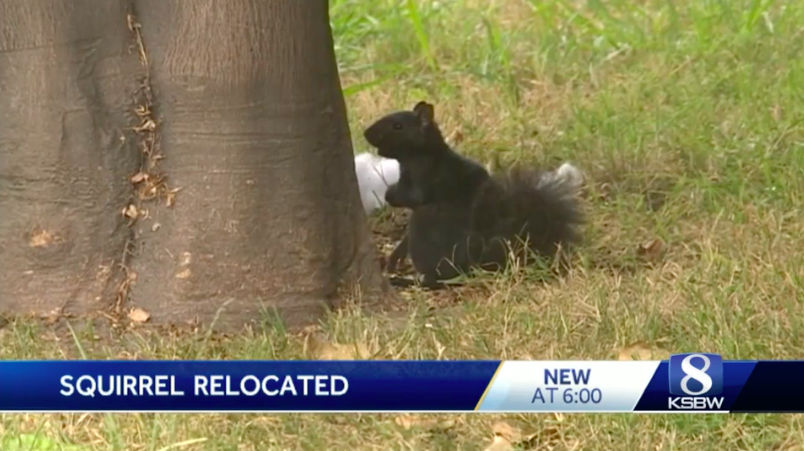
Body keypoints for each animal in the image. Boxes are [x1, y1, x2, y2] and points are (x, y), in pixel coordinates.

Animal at [363, 101, 584, 288]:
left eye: (397, 126)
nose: (366, 133)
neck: (422, 154)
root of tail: (472, 265)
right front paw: (395, 256)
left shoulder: (426, 179)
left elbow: (412, 197)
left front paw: (390, 194)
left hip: (423, 227)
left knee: (436, 279)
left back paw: (409, 280)